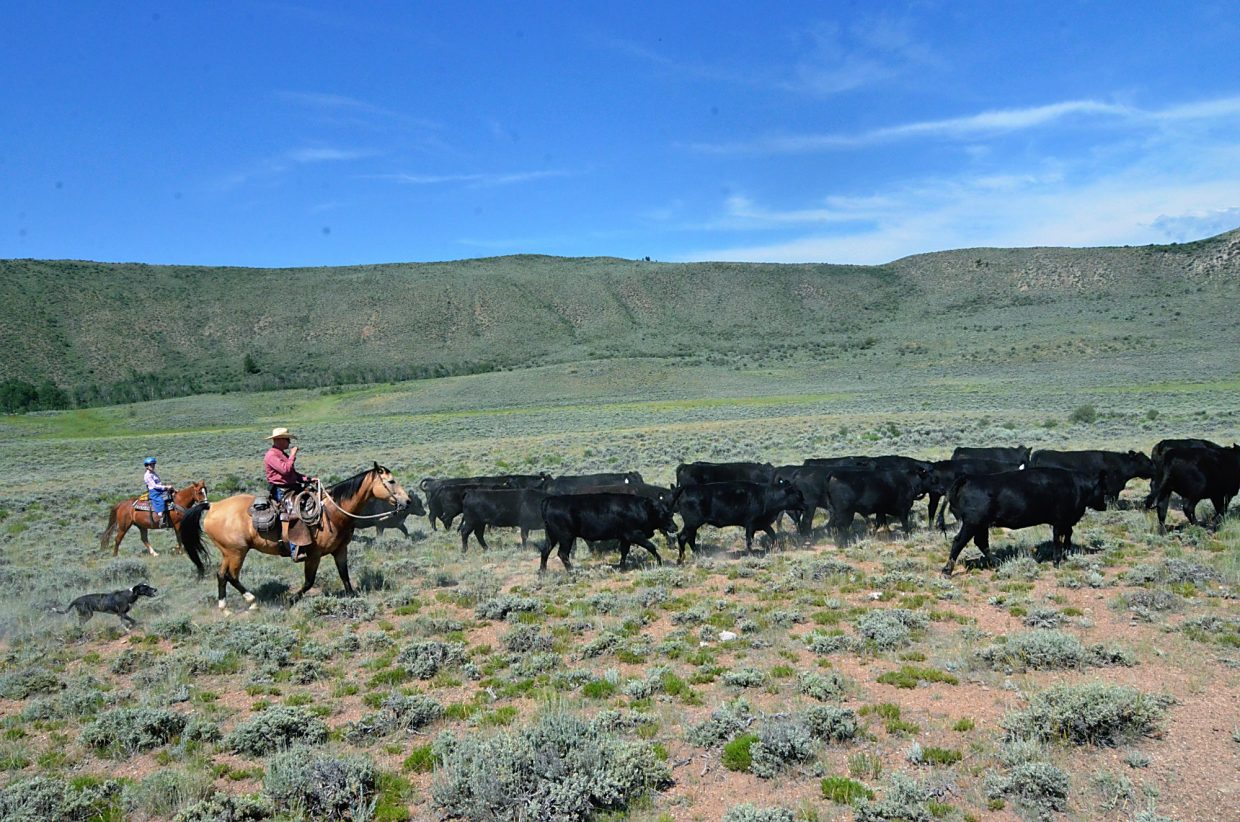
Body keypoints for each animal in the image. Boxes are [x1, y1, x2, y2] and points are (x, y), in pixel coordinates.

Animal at [539, 493, 677, 572]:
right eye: (661, 514)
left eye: (670, 513)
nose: (675, 527)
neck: (640, 508)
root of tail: (550, 500)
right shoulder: (634, 535)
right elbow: (651, 546)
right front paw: (660, 562)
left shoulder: (625, 538)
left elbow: (624, 552)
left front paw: (621, 567)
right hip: (566, 537)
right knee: (562, 554)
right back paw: (572, 572)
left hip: (552, 536)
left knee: (545, 551)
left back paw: (542, 573)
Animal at [671, 480, 804, 563]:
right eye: (798, 494)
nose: (805, 505)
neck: (766, 496)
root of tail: (687, 488)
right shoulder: (750, 524)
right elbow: (749, 540)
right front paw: (751, 554)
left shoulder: (763, 524)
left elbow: (773, 535)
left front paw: (776, 548)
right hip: (692, 524)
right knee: (683, 537)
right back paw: (683, 558)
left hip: (692, 525)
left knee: (689, 538)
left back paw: (695, 555)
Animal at [940, 467, 1108, 576]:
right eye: (1104, 489)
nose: (1105, 505)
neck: (1075, 485)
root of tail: (970, 478)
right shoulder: (1060, 521)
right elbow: (1058, 539)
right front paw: (1057, 561)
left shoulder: (1066, 521)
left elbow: (1068, 535)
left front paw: (1066, 553)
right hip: (972, 523)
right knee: (959, 541)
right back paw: (947, 570)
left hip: (981, 525)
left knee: (981, 542)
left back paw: (998, 563)